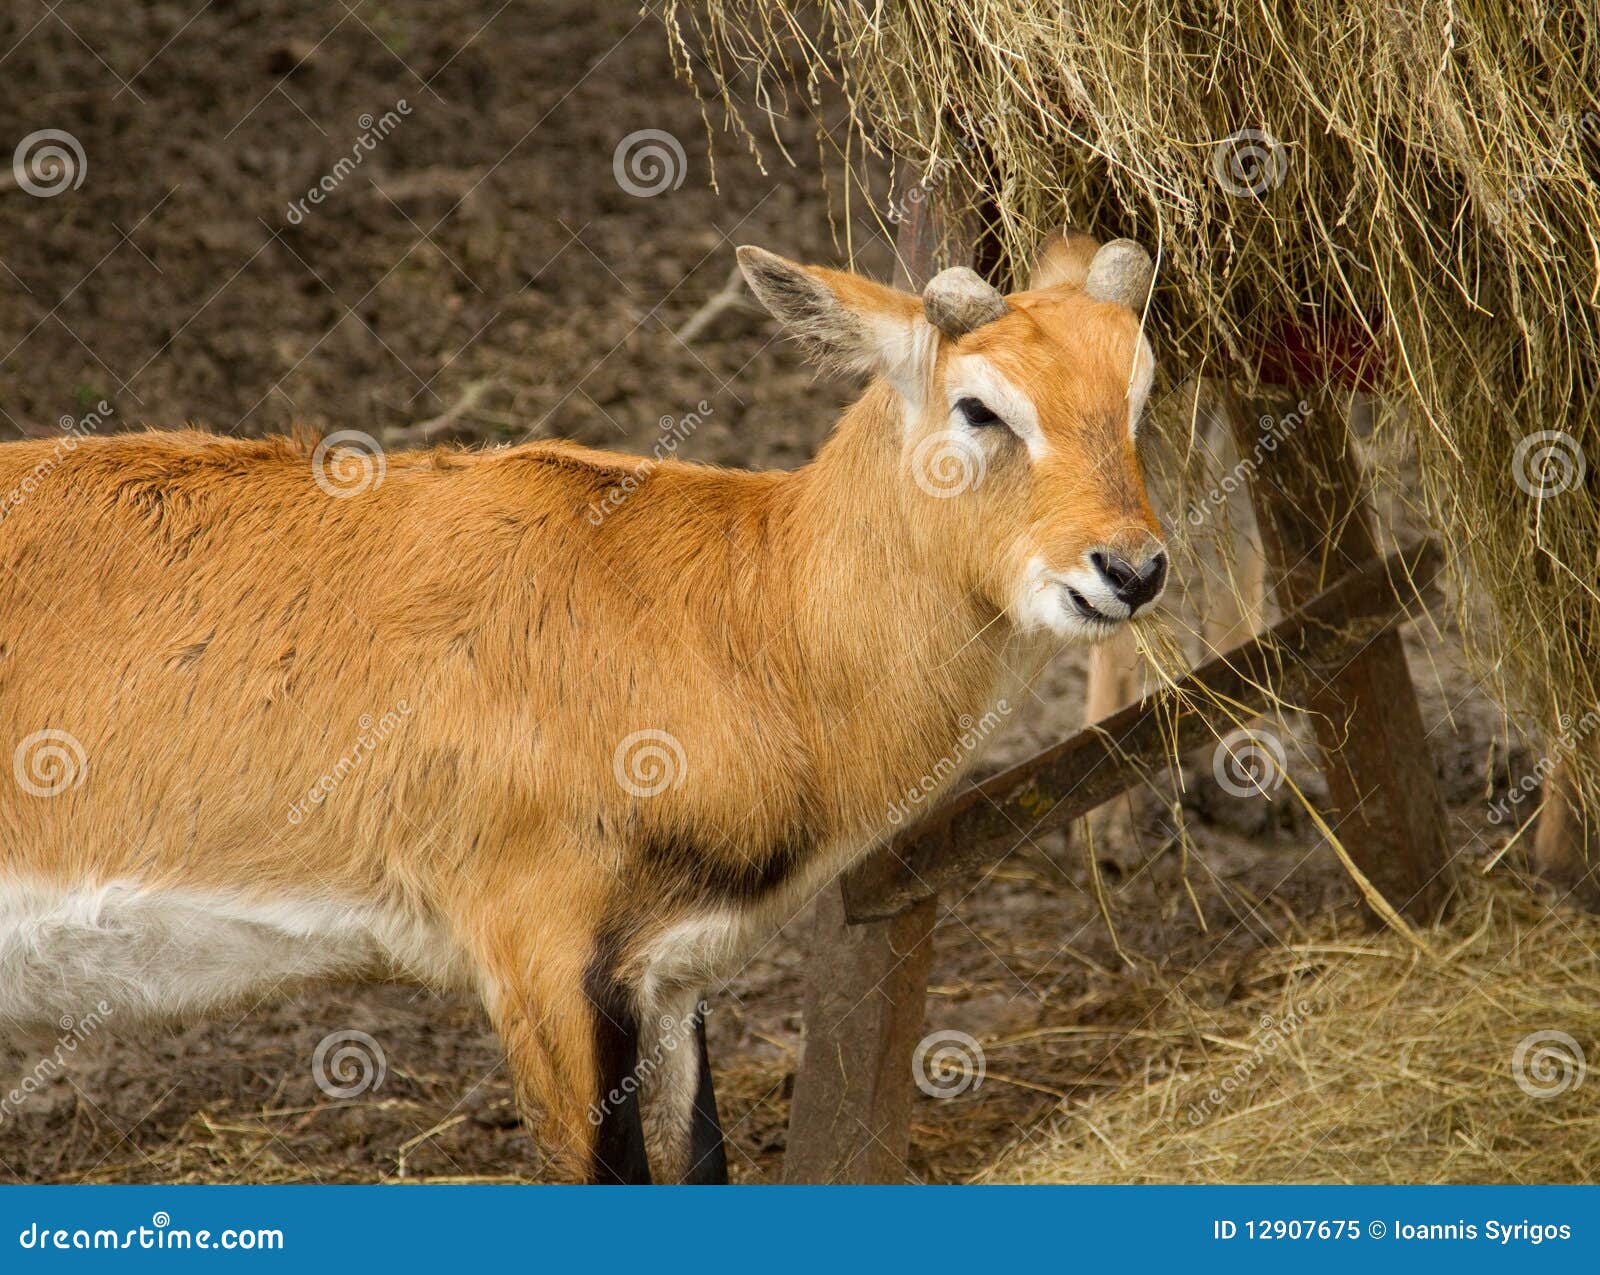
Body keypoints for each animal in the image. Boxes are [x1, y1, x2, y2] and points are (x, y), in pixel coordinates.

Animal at [0, 228, 1167, 1183]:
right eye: (981, 405)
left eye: (1137, 396)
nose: (1131, 568)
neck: (753, 615)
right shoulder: (541, 960)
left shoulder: (666, 974)